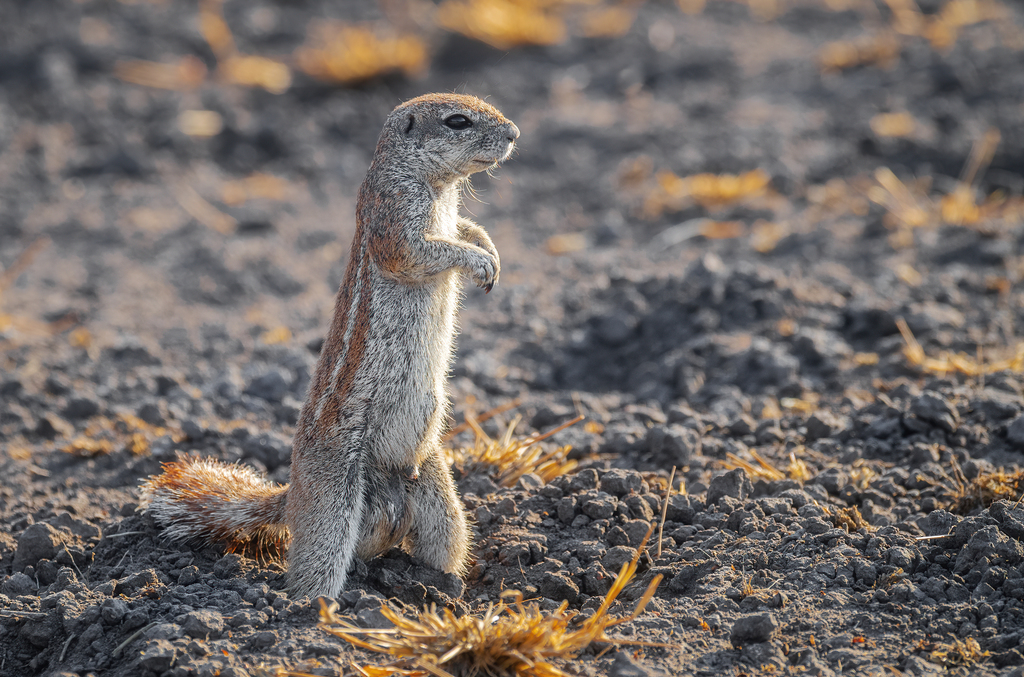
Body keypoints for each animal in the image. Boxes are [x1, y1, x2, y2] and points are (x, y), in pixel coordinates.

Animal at [140, 93, 520, 598]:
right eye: (458, 121)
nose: (515, 133)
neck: (434, 184)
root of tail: (292, 494)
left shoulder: (448, 215)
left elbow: (465, 227)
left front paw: (489, 251)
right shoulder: (394, 217)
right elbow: (421, 251)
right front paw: (478, 260)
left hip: (436, 484)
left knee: (439, 536)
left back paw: (443, 585)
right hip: (333, 497)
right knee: (318, 562)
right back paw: (313, 606)